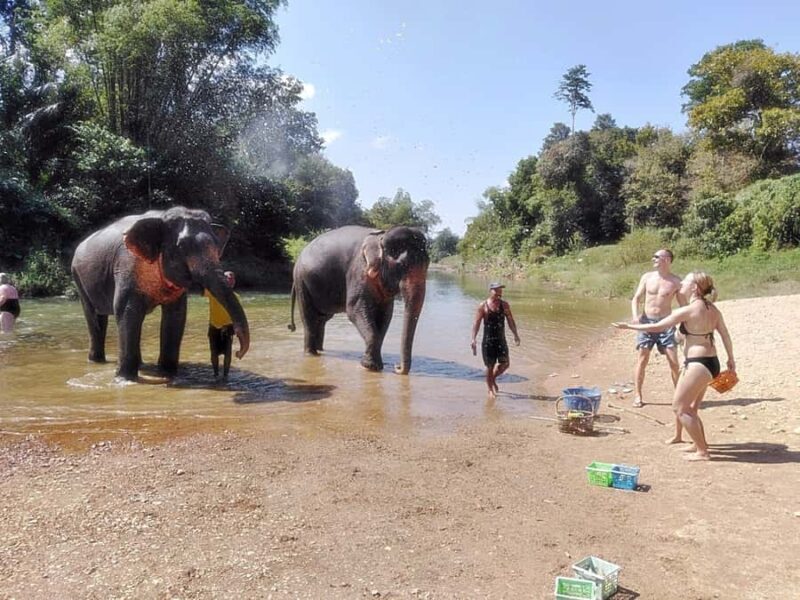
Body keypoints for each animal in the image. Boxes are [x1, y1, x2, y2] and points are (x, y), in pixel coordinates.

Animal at [71, 206, 250, 381]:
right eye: (181, 247)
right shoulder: (127, 266)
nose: (238, 353)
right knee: (95, 317)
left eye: (217, 247)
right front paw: (124, 380)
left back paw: (141, 365)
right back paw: (97, 361)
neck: (163, 216)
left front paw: (168, 374)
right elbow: (126, 311)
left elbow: (176, 315)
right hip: (78, 277)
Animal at [288, 225, 429, 374]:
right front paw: (370, 367)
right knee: (309, 319)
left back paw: (321, 351)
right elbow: (354, 310)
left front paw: (377, 366)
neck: (381, 237)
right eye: (402, 265)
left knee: (321, 320)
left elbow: (385, 315)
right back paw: (311, 355)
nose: (397, 367)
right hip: (301, 281)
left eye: (427, 265)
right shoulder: (358, 270)